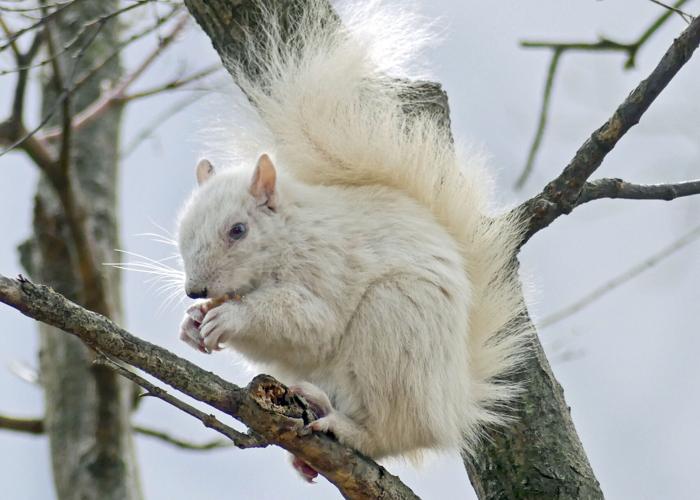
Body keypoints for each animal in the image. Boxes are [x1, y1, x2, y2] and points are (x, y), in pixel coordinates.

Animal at [177, 0, 530, 480]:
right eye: (182, 229)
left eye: (238, 230)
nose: (195, 290)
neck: (287, 238)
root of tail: (453, 404)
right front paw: (192, 322)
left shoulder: (326, 267)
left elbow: (311, 324)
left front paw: (231, 317)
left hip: (394, 323)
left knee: (393, 431)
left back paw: (345, 426)